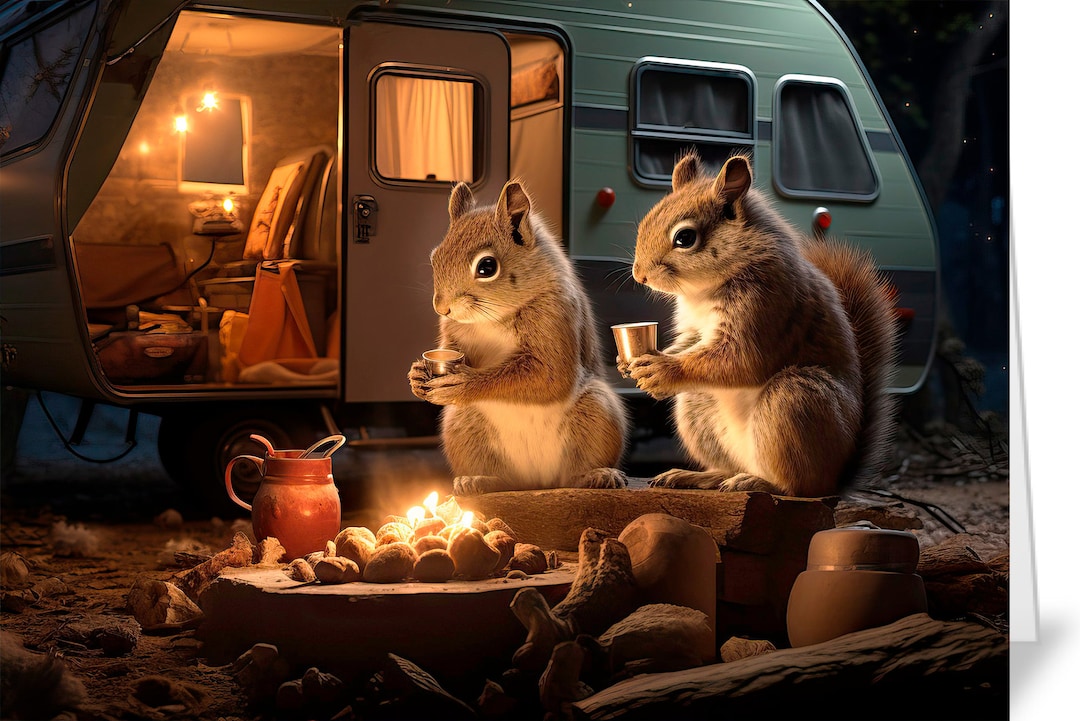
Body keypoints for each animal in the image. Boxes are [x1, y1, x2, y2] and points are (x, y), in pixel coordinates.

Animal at [409, 179, 629, 496]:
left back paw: (598, 475)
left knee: (575, 472)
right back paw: (478, 480)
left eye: (487, 267)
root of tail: (537, 480)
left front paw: (466, 383)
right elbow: (449, 349)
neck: (491, 318)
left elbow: (550, 375)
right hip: (463, 425)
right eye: (435, 257)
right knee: (502, 478)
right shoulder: (452, 334)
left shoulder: (556, 315)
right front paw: (416, 375)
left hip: (597, 413)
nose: (442, 307)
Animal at [623, 151, 899, 497]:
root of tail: (838, 478)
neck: (703, 290)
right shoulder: (693, 327)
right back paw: (699, 476)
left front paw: (664, 370)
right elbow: (688, 343)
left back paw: (760, 482)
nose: (639, 275)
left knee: (799, 486)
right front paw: (636, 362)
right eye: (647, 220)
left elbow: (742, 359)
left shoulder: (767, 306)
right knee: (728, 467)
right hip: (697, 406)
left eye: (684, 238)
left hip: (793, 399)